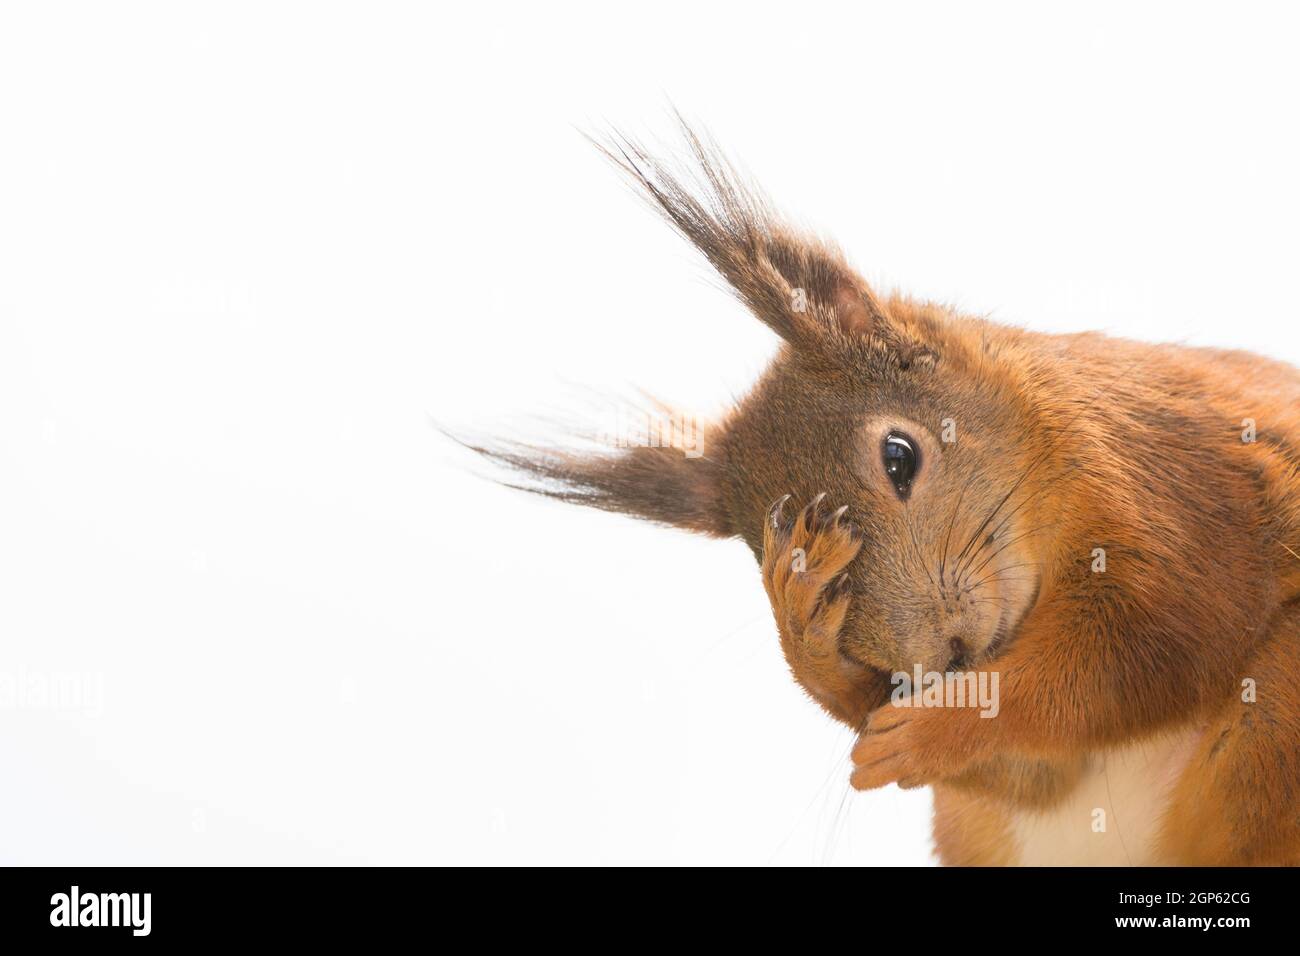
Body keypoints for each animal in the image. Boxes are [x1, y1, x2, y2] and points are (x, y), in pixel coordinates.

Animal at [473, 122, 1300, 866]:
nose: (948, 656)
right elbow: (1037, 774)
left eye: (900, 457)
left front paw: (946, 723)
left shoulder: (1176, 488)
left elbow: (1140, 652)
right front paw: (808, 627)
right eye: (760, 551)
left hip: (1273, 719)